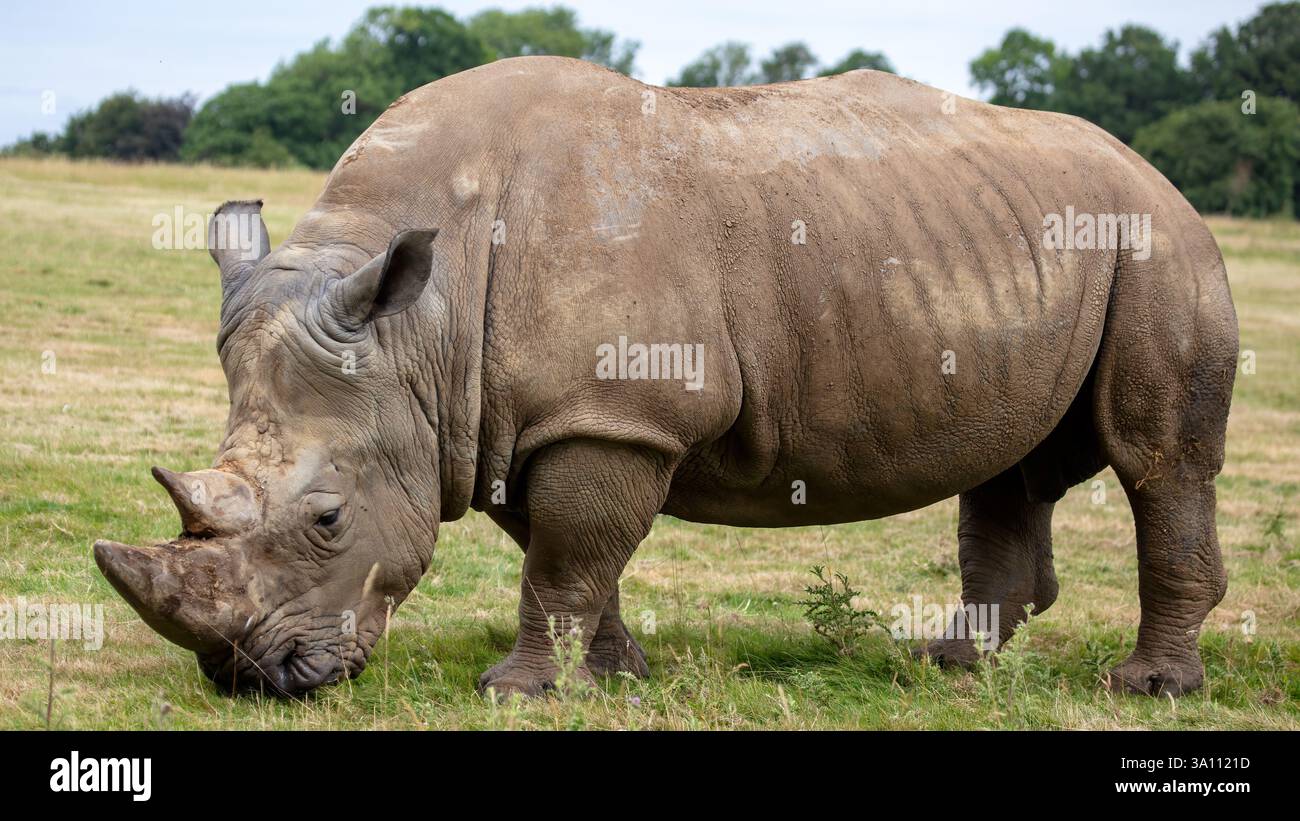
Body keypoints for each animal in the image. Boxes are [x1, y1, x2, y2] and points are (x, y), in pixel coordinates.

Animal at [94, 56, 1238, 699]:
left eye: (328, 519)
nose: (247, 679)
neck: (420, 327)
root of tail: (1151, 167)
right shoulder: (511, 413)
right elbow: (566, 551)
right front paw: (613, 674)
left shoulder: (609, 410)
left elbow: (563, 553)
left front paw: (522, 693)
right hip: (1026, 237)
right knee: (1009, 462)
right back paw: (951, 667)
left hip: (1158, 239)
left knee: (1159, 461)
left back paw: (1146, 687)